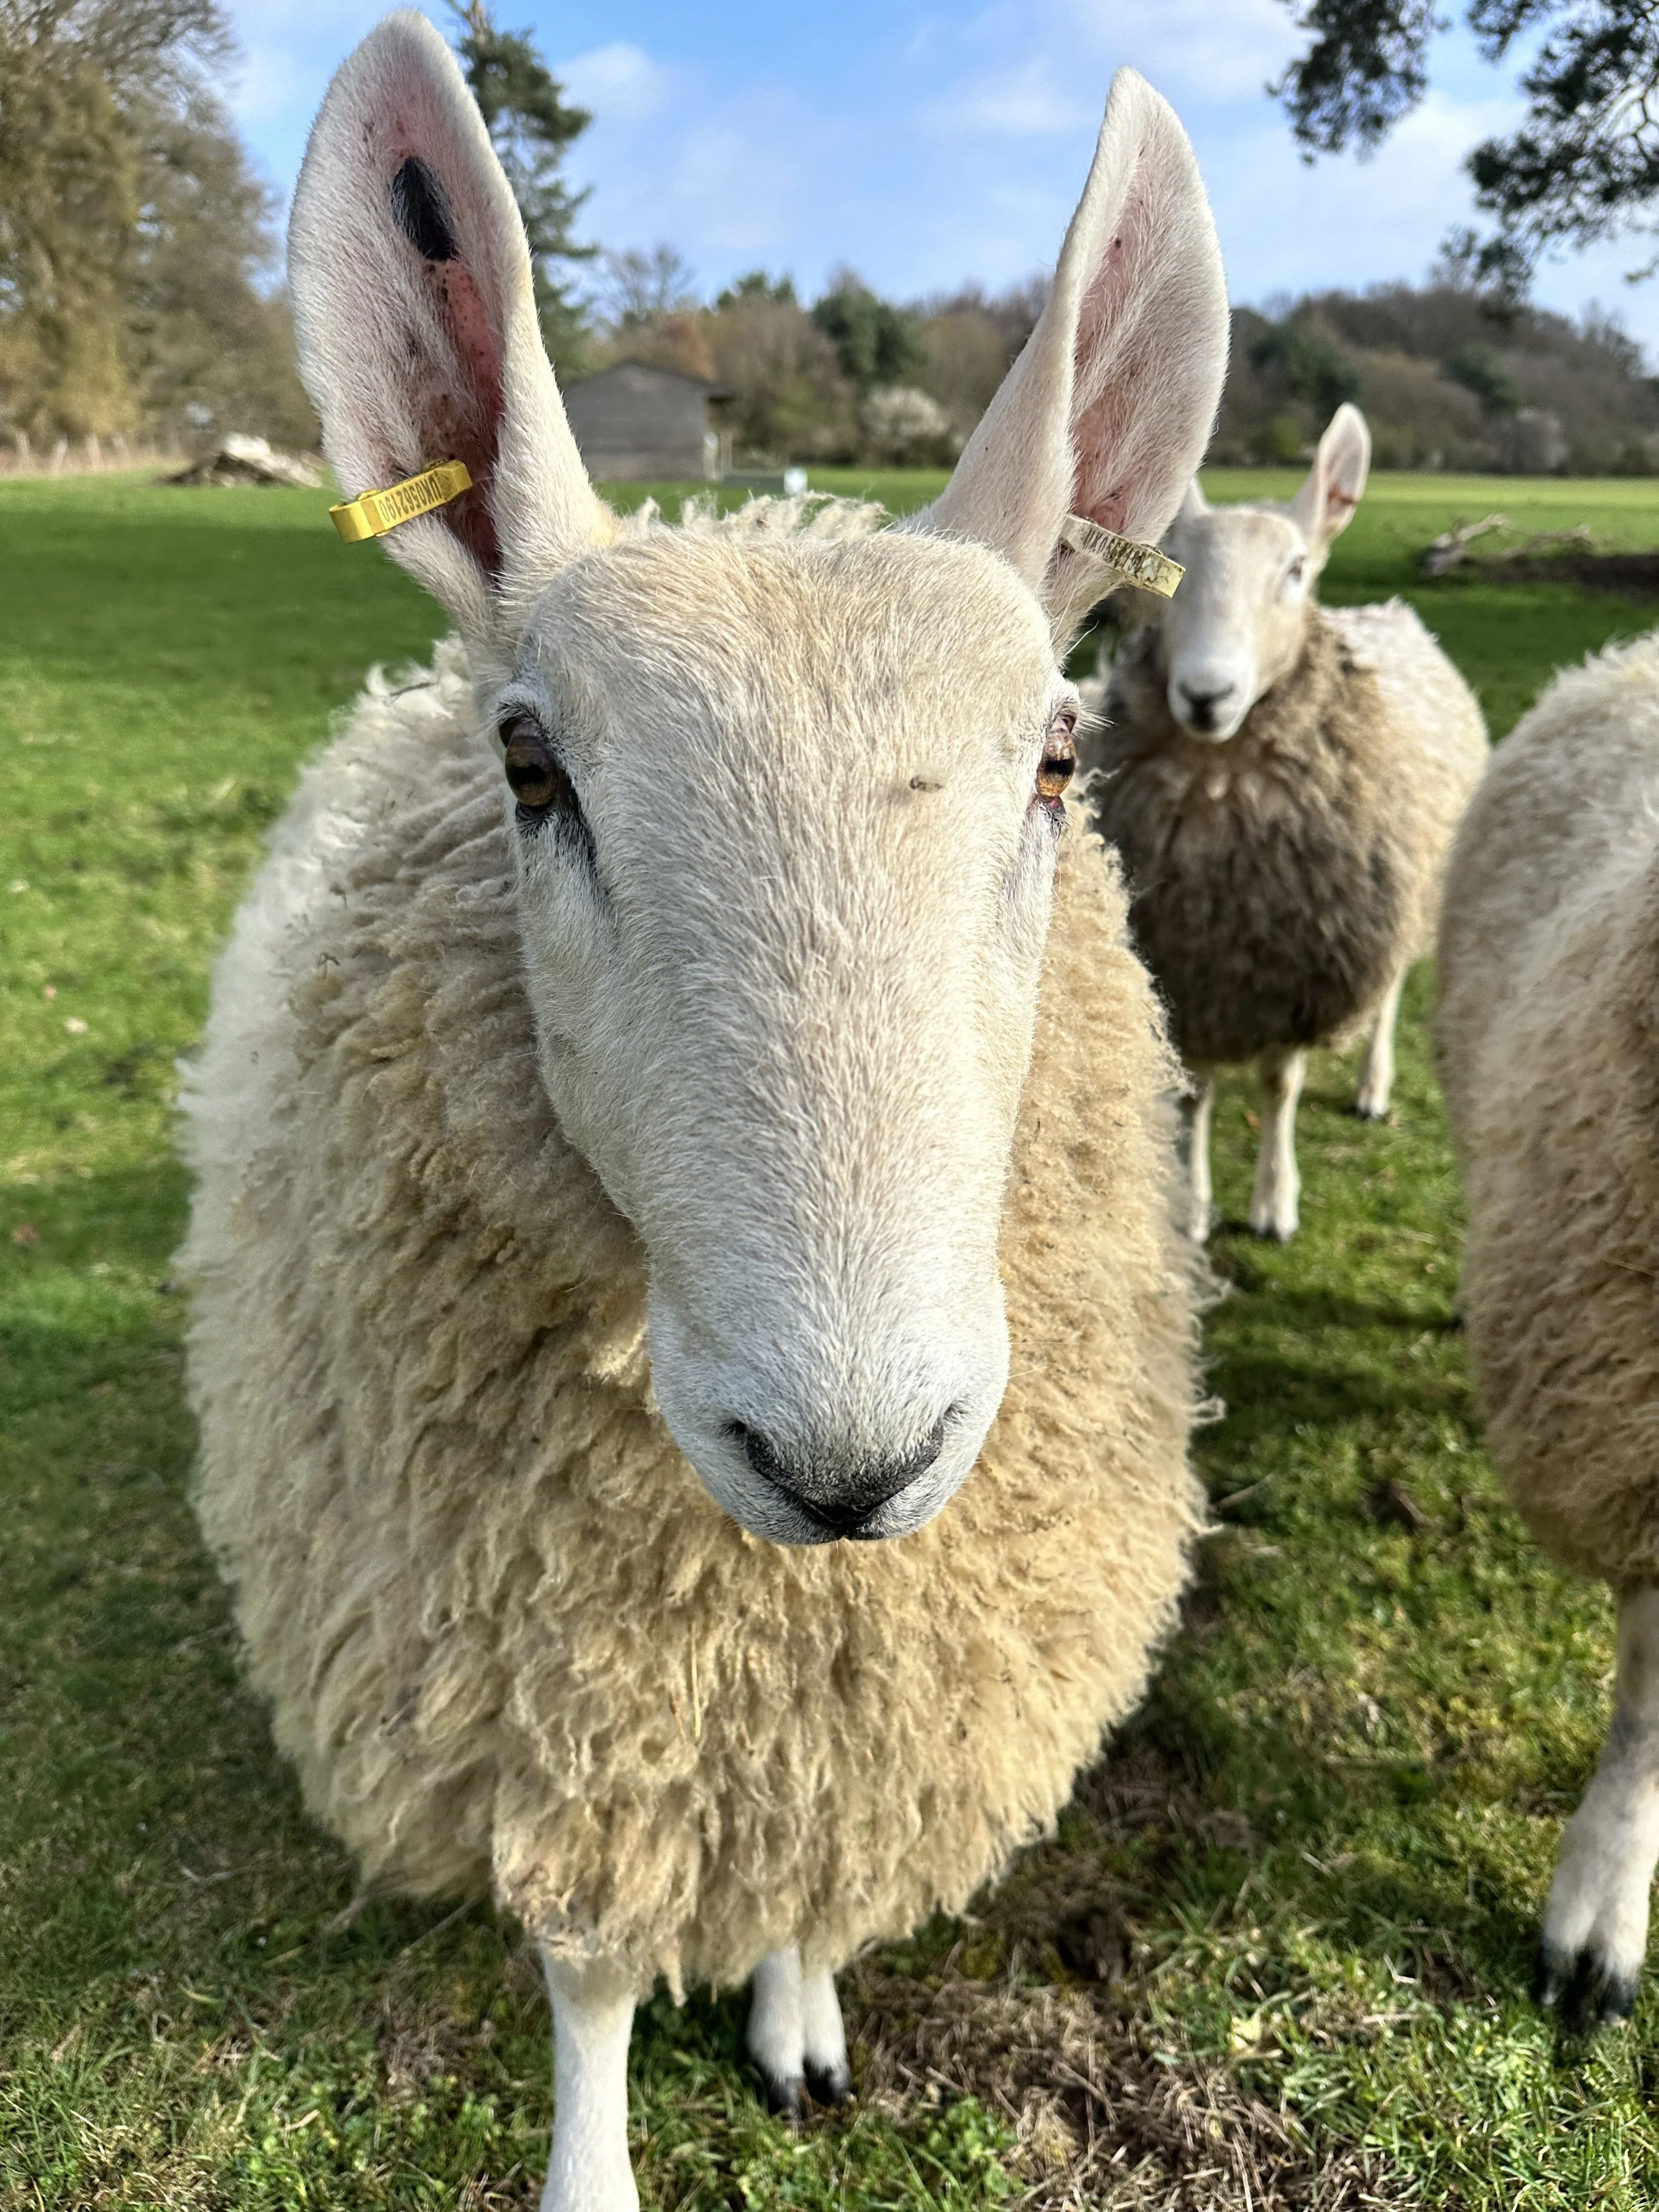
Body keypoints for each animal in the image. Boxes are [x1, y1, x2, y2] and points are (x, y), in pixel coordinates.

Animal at [176, 15, 1231, 2209]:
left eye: (1055, 760)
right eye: (530, 766)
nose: (848, 1457)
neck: (757, 1591)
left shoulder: (841, 1680)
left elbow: (813, 1856)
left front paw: (797, 2006)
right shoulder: (566, 1692)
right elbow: (586, 1966)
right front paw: (592, 2157)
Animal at [1081, 404, 1489, 1242]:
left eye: (1296, 570)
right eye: (1173, 564)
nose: (1206, 695)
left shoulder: (1299, 968)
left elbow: (1278, 1086)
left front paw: (1273, 1201)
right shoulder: (1189, 967)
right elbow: (1197, 1092)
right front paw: (1195, 1204)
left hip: (1404, 898)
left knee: (1388, 998)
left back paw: (1371, 1086)